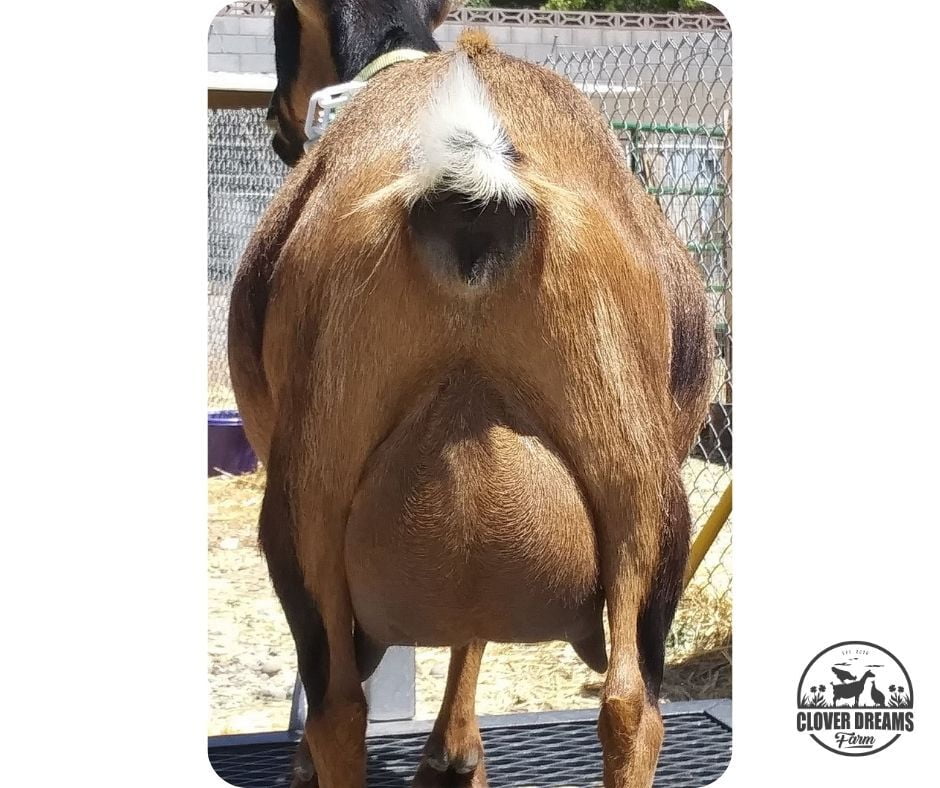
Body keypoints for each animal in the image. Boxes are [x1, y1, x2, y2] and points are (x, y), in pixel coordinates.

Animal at [228, 5, 712, 787]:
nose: (275, 124)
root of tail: (470, 188)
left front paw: (450, 755)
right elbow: (473, 630)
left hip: (302, 503)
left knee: (337, 704)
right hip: (646, 497)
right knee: (630, 705)